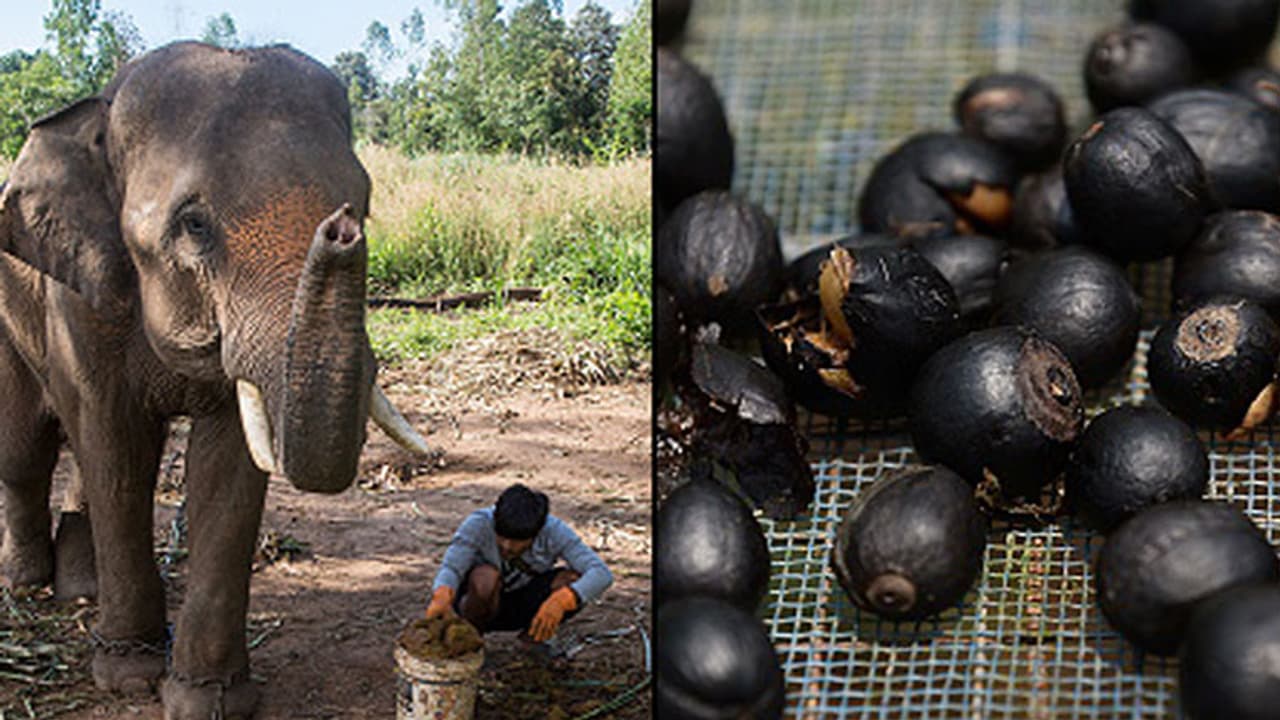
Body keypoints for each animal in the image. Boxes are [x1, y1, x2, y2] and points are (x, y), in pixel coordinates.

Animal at [0, 41, 429, 718]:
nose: (340, 227)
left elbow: (229, 470)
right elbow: (117, 448)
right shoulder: (82, 298)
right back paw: (27, 583)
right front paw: (128, 679)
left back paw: (80, 589)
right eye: (194, 224)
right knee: (25, 448)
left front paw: (209, 699)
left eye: (364, 202)